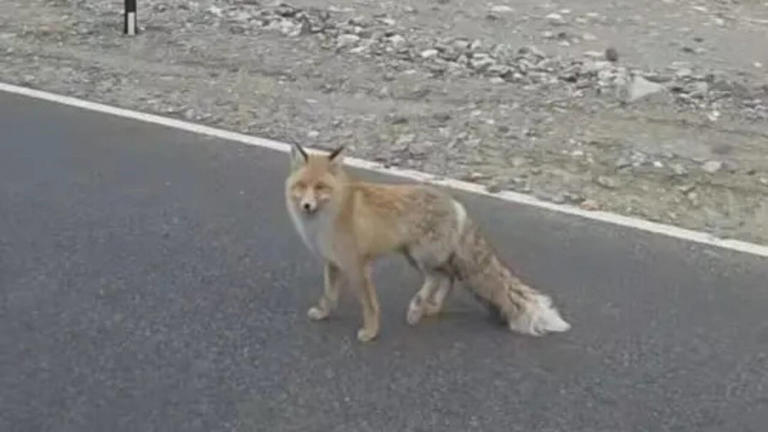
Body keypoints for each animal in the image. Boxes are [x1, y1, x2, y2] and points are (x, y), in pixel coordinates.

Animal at [284, 143, 571, 342]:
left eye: (321, 187)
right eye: (302, 186)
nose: (306, 205)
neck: (329, 216)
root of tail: (456, 203)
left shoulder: (358, 265)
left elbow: (369, 305)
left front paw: (371, 333)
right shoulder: (333, 262)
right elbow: (329, 295)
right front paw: (323, 314)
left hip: (420, 255)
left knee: (436, 278)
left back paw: (417, 308)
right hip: (417, 256)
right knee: (447, 277)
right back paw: (428, 309)